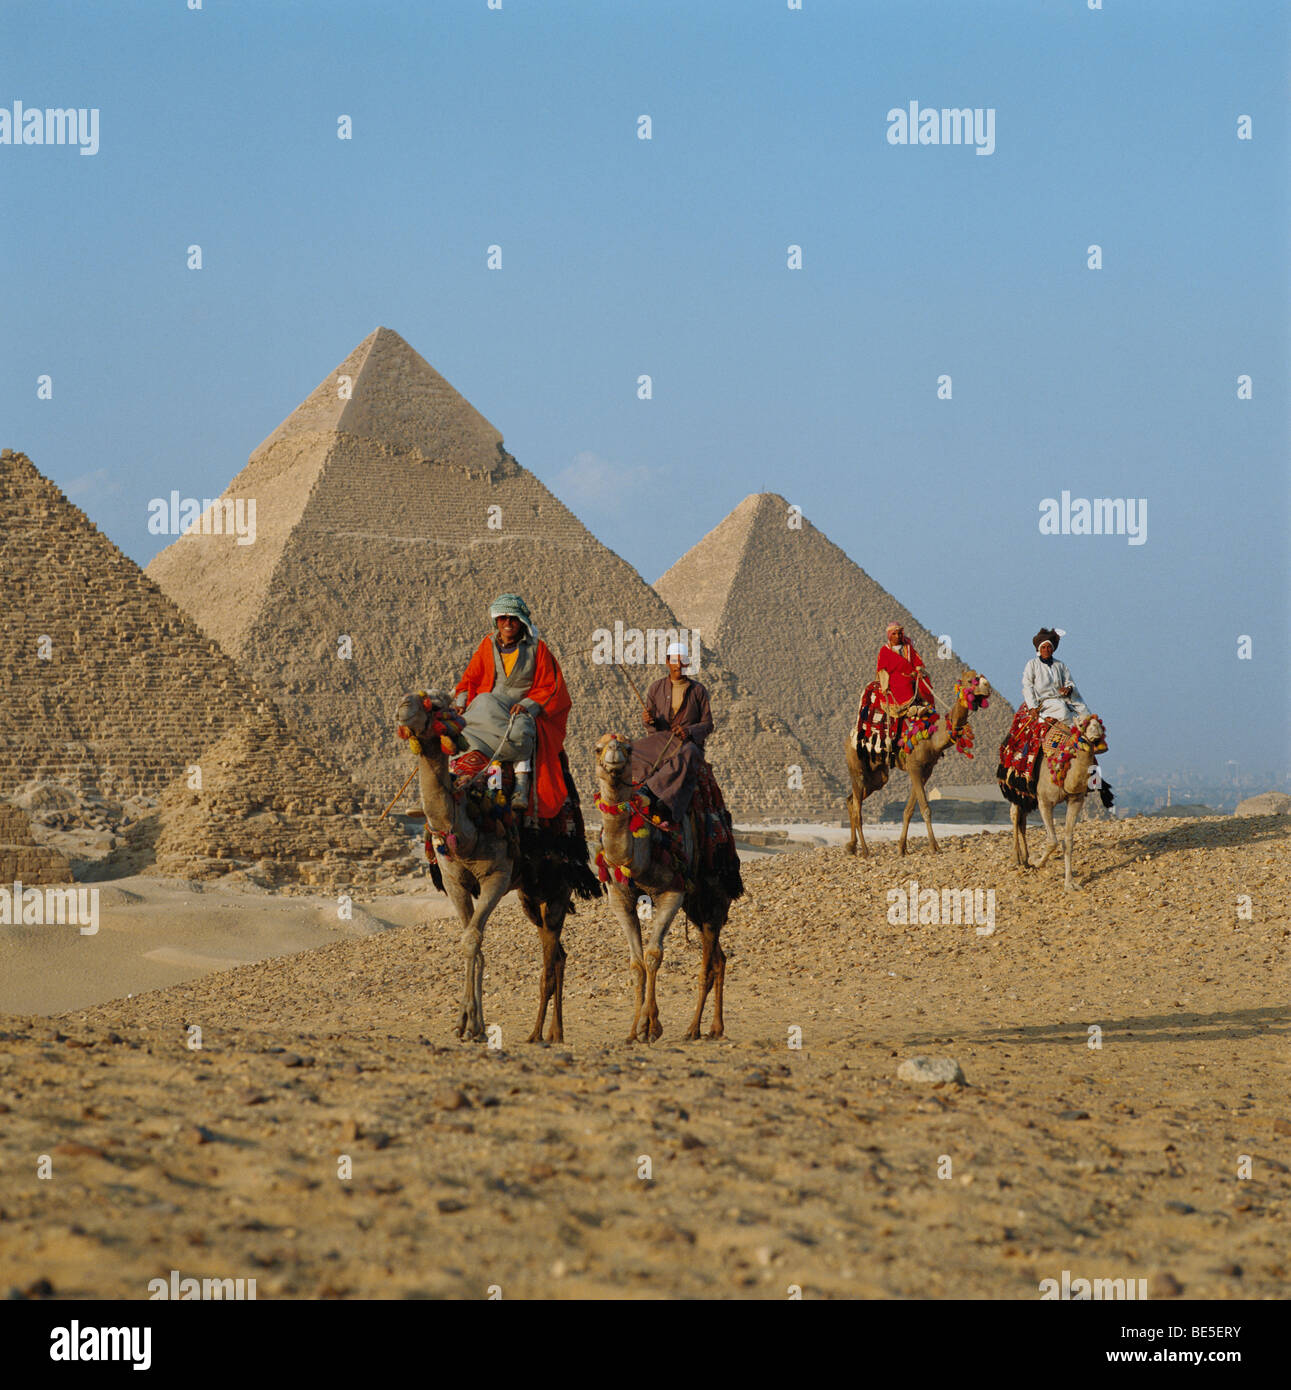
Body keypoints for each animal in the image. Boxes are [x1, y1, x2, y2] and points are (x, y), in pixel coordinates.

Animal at [395, 690, 598, 1043]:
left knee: (551, 957)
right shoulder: (454, 882)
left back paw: (547, 1034)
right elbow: (470, 940)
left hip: (559, 888)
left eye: (434, 705)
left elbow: (473, 939)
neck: (467, 822)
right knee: (558, 954)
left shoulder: (497, 877)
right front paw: (468, 1022)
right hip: (531, 895)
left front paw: (471, 1023)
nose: (404, 706)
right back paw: (546, 1031)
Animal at [593, 733, 742, 1043]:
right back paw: (712, 1027)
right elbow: (636, 963)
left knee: (709, 962)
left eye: (628, 748)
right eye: (597, 748)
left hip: (714, 897)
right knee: (719, 958)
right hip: (696, 906)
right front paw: (633, 1031)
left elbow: (653, 955)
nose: (613, 753)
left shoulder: (672, 893)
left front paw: (651, 1027)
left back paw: (696, 1028)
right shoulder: (619, 898)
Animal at [845, 671, 992, 857]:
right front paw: (934, 846)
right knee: (857, 810)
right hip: (856, 767)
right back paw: (865, 850)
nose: (987, 687)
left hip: (877, 776)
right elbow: (925, 808)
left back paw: (851, 846)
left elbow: (909, 810)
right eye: (969, 680)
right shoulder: (914, 766)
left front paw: (902, 847)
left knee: (851, 800)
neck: (933, 736)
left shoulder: (926, 770)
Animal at [1011, 713, 1110, 890]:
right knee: (1015, 815)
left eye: (1100, 723)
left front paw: (1070, 883)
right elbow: (1052, 841)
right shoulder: (1044, 800)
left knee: (1022, 821)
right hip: (1016, 788)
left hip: (1027, 798)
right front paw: (1036, 861)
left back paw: (1025, 858)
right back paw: (1017, 859)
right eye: (1080, 724)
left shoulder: (1076, 800)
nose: (1096, 732)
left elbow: (1068, 842)